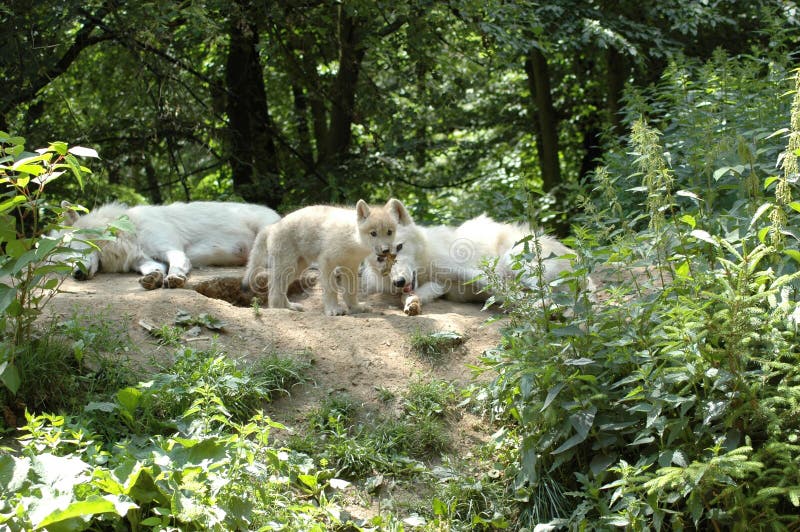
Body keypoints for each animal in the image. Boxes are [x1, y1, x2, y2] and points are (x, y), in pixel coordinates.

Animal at [58, 201, 280, 289]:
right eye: (62, 264)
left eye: (71, 248)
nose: (76, 275)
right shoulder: (141, 260)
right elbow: (153, 268)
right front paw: (153, 278)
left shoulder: (170, 248)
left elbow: (177, 264)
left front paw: (175, 278)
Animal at [243, 198, 411, 316]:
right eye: (373, 233)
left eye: (389, 232)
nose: (385, 250)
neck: (353, 239)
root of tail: (272, 226)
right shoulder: (327, 263)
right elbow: (331, 290)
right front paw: (334, 310)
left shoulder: (350, 267)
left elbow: (350, 292)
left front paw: (355, 308)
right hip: (288, 266)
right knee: (274, 291)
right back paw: (282, 310)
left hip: (297, 269)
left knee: (280, 289)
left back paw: (291, 307)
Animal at [361, 214, 582, 315]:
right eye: (381, 257)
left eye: (398, 247)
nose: (398, 281)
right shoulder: (440, 286)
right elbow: (408, 296)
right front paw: (412, 304)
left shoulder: (461, 269)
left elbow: (491, 283)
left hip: (511, 260)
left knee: (549, 294)